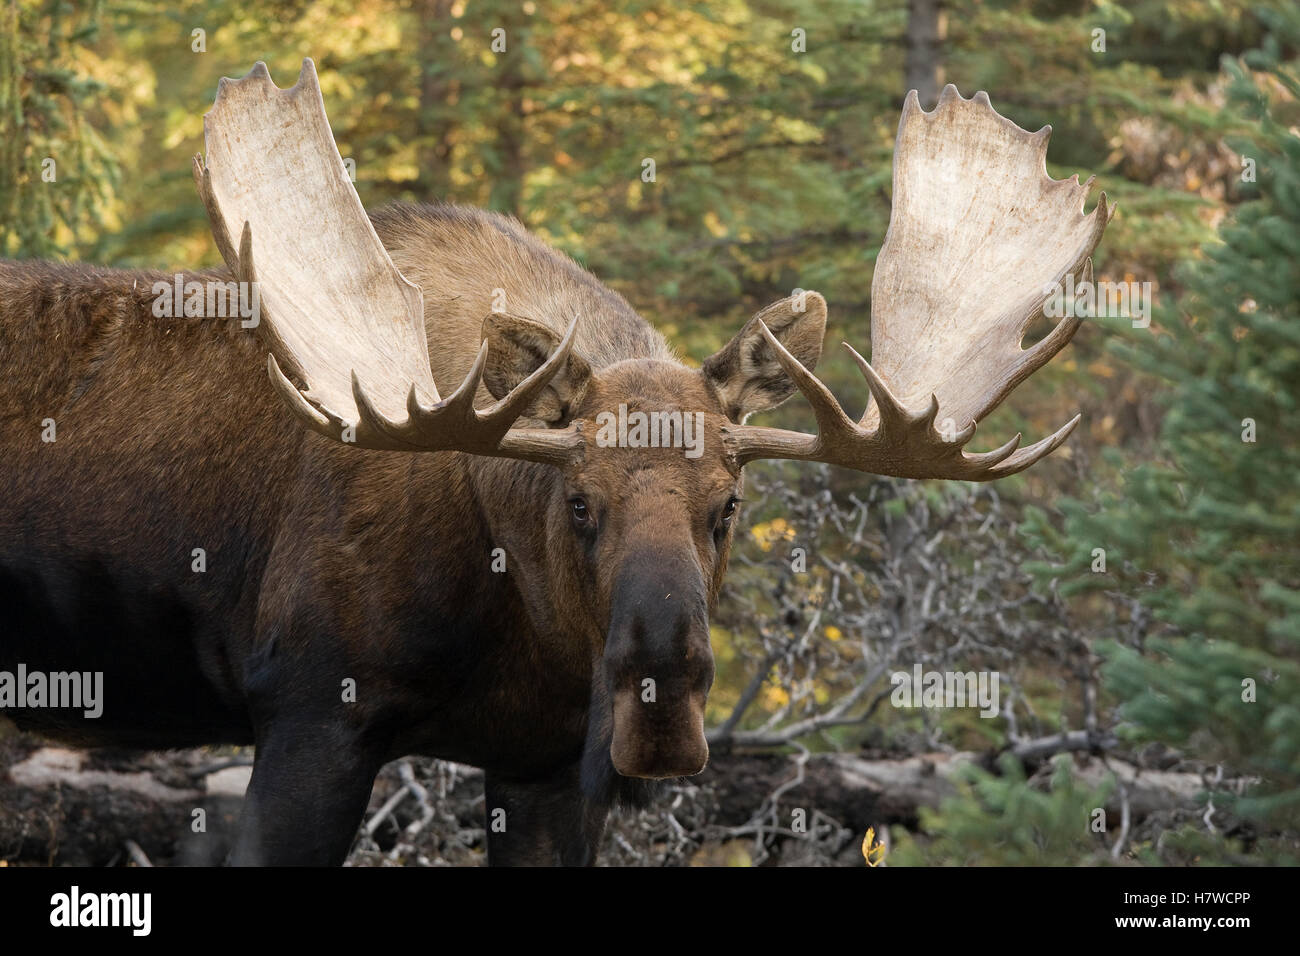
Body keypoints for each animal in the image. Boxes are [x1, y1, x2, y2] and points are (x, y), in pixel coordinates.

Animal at [0, 60, 1109, 865]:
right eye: (578, 500)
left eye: (731, 503)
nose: (660, 692)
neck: (517, 616)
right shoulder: (309, 712)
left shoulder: (550, 769)